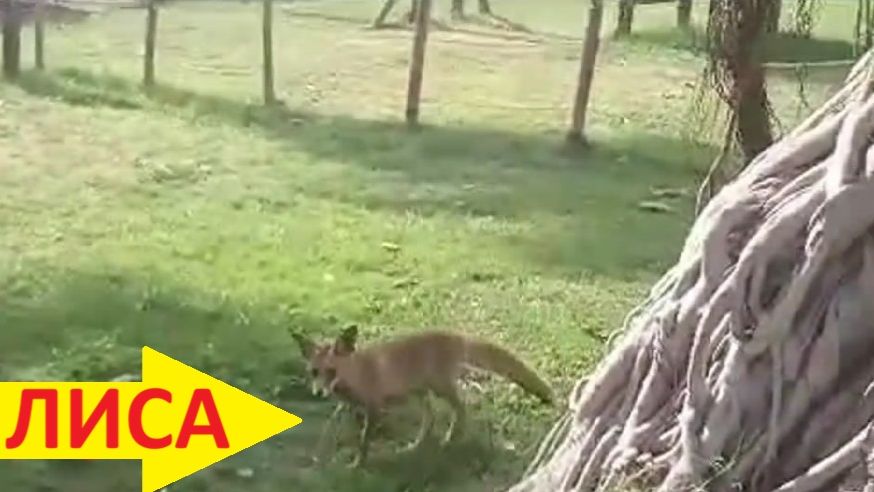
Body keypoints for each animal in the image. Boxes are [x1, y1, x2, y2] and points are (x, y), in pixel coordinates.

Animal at [292, 325, 554, 467]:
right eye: (315, 372)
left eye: (331, 372)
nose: (319, 392)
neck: (357, 373)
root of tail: (455, 334)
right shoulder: (349, 407)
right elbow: (331, 431)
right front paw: (319, 457)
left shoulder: (374, 407)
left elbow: (364, 441)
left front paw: (358, 464)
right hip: (419, 392)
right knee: (431, 418)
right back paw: (416, 446)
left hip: (439, 387)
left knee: (460, 408)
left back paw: (451, 438)